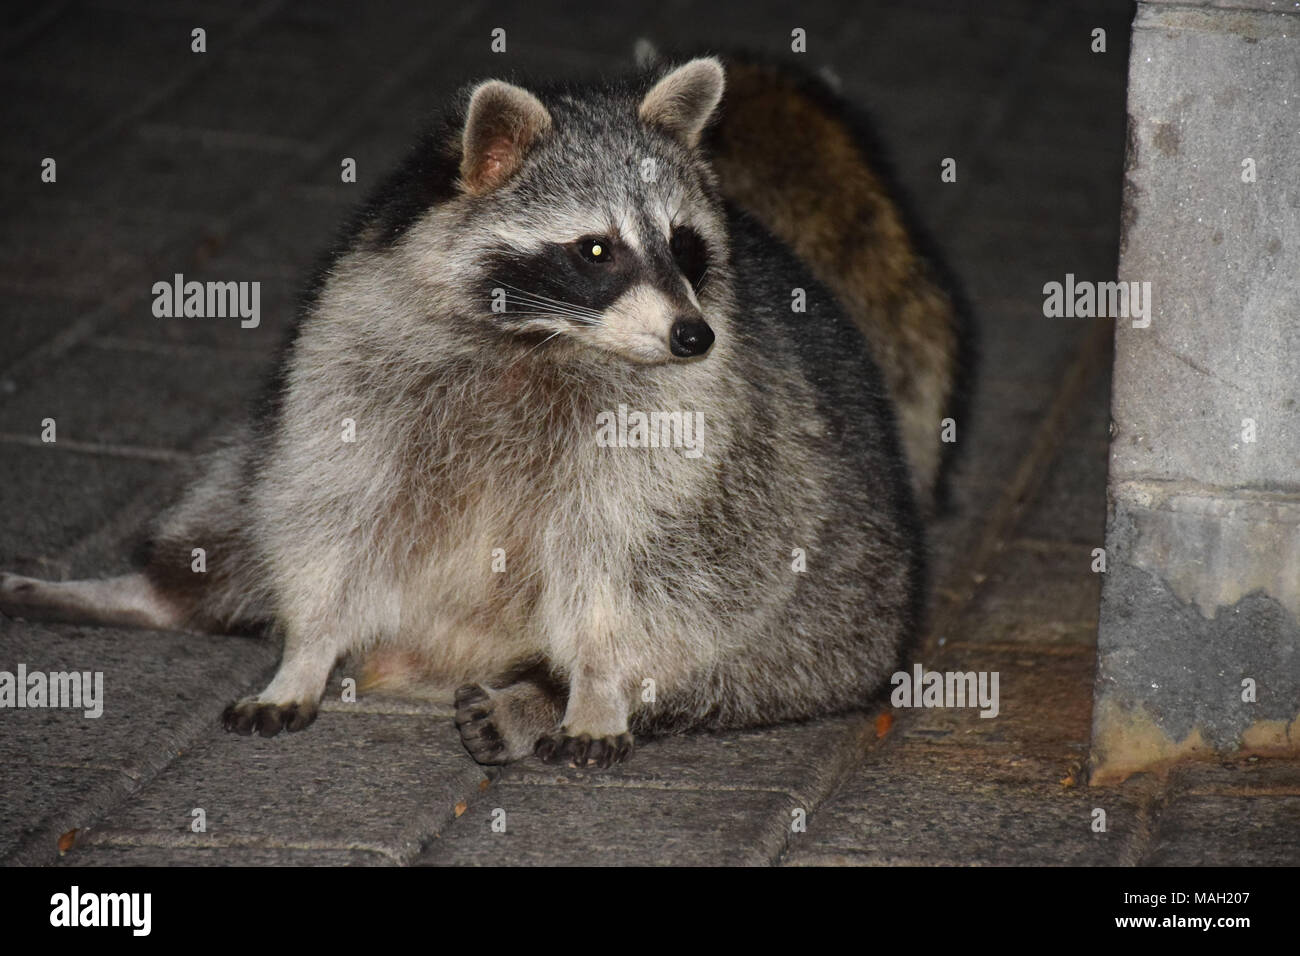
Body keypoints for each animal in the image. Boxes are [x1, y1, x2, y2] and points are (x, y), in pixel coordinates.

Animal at [1, 57, 935, 769]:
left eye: (684, 244)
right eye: (597, 249)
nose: (693, 336)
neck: (541, 340)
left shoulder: (686, 433)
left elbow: (632, 560)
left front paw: (595, 686)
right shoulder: (354, 345)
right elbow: (330, 509)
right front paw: (303, 653)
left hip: (826, 619)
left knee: (720, 656)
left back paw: (537, 697)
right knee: (235, 516)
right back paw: (152, 594)